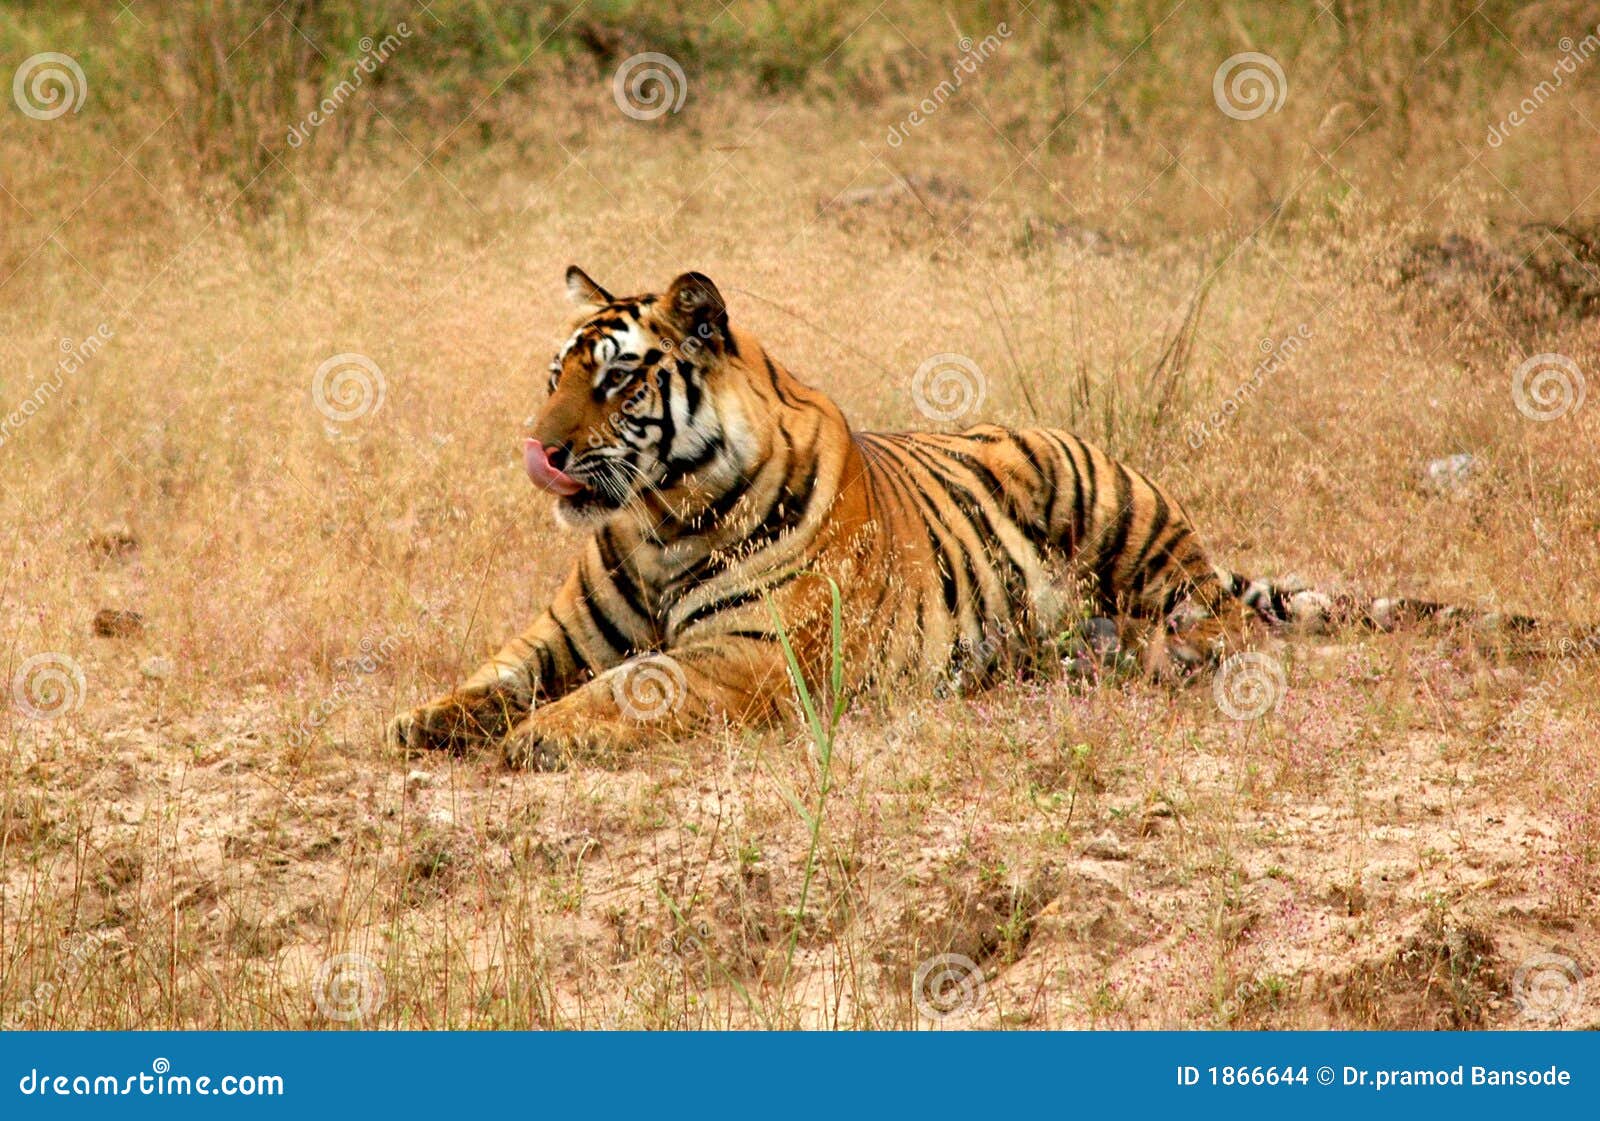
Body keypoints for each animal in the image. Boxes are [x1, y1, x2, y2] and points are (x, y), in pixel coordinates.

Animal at [386, 266, 1576, 768]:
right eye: (553, 373)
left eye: (618, 379)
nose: (538, 448)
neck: (665, 513)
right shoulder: (565, 628)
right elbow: (499, 671)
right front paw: (426, 719)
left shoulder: (754, 654)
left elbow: (630, 687)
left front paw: (536, 739)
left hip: (1098, 500)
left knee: (1228, 630)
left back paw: (1158, 655)